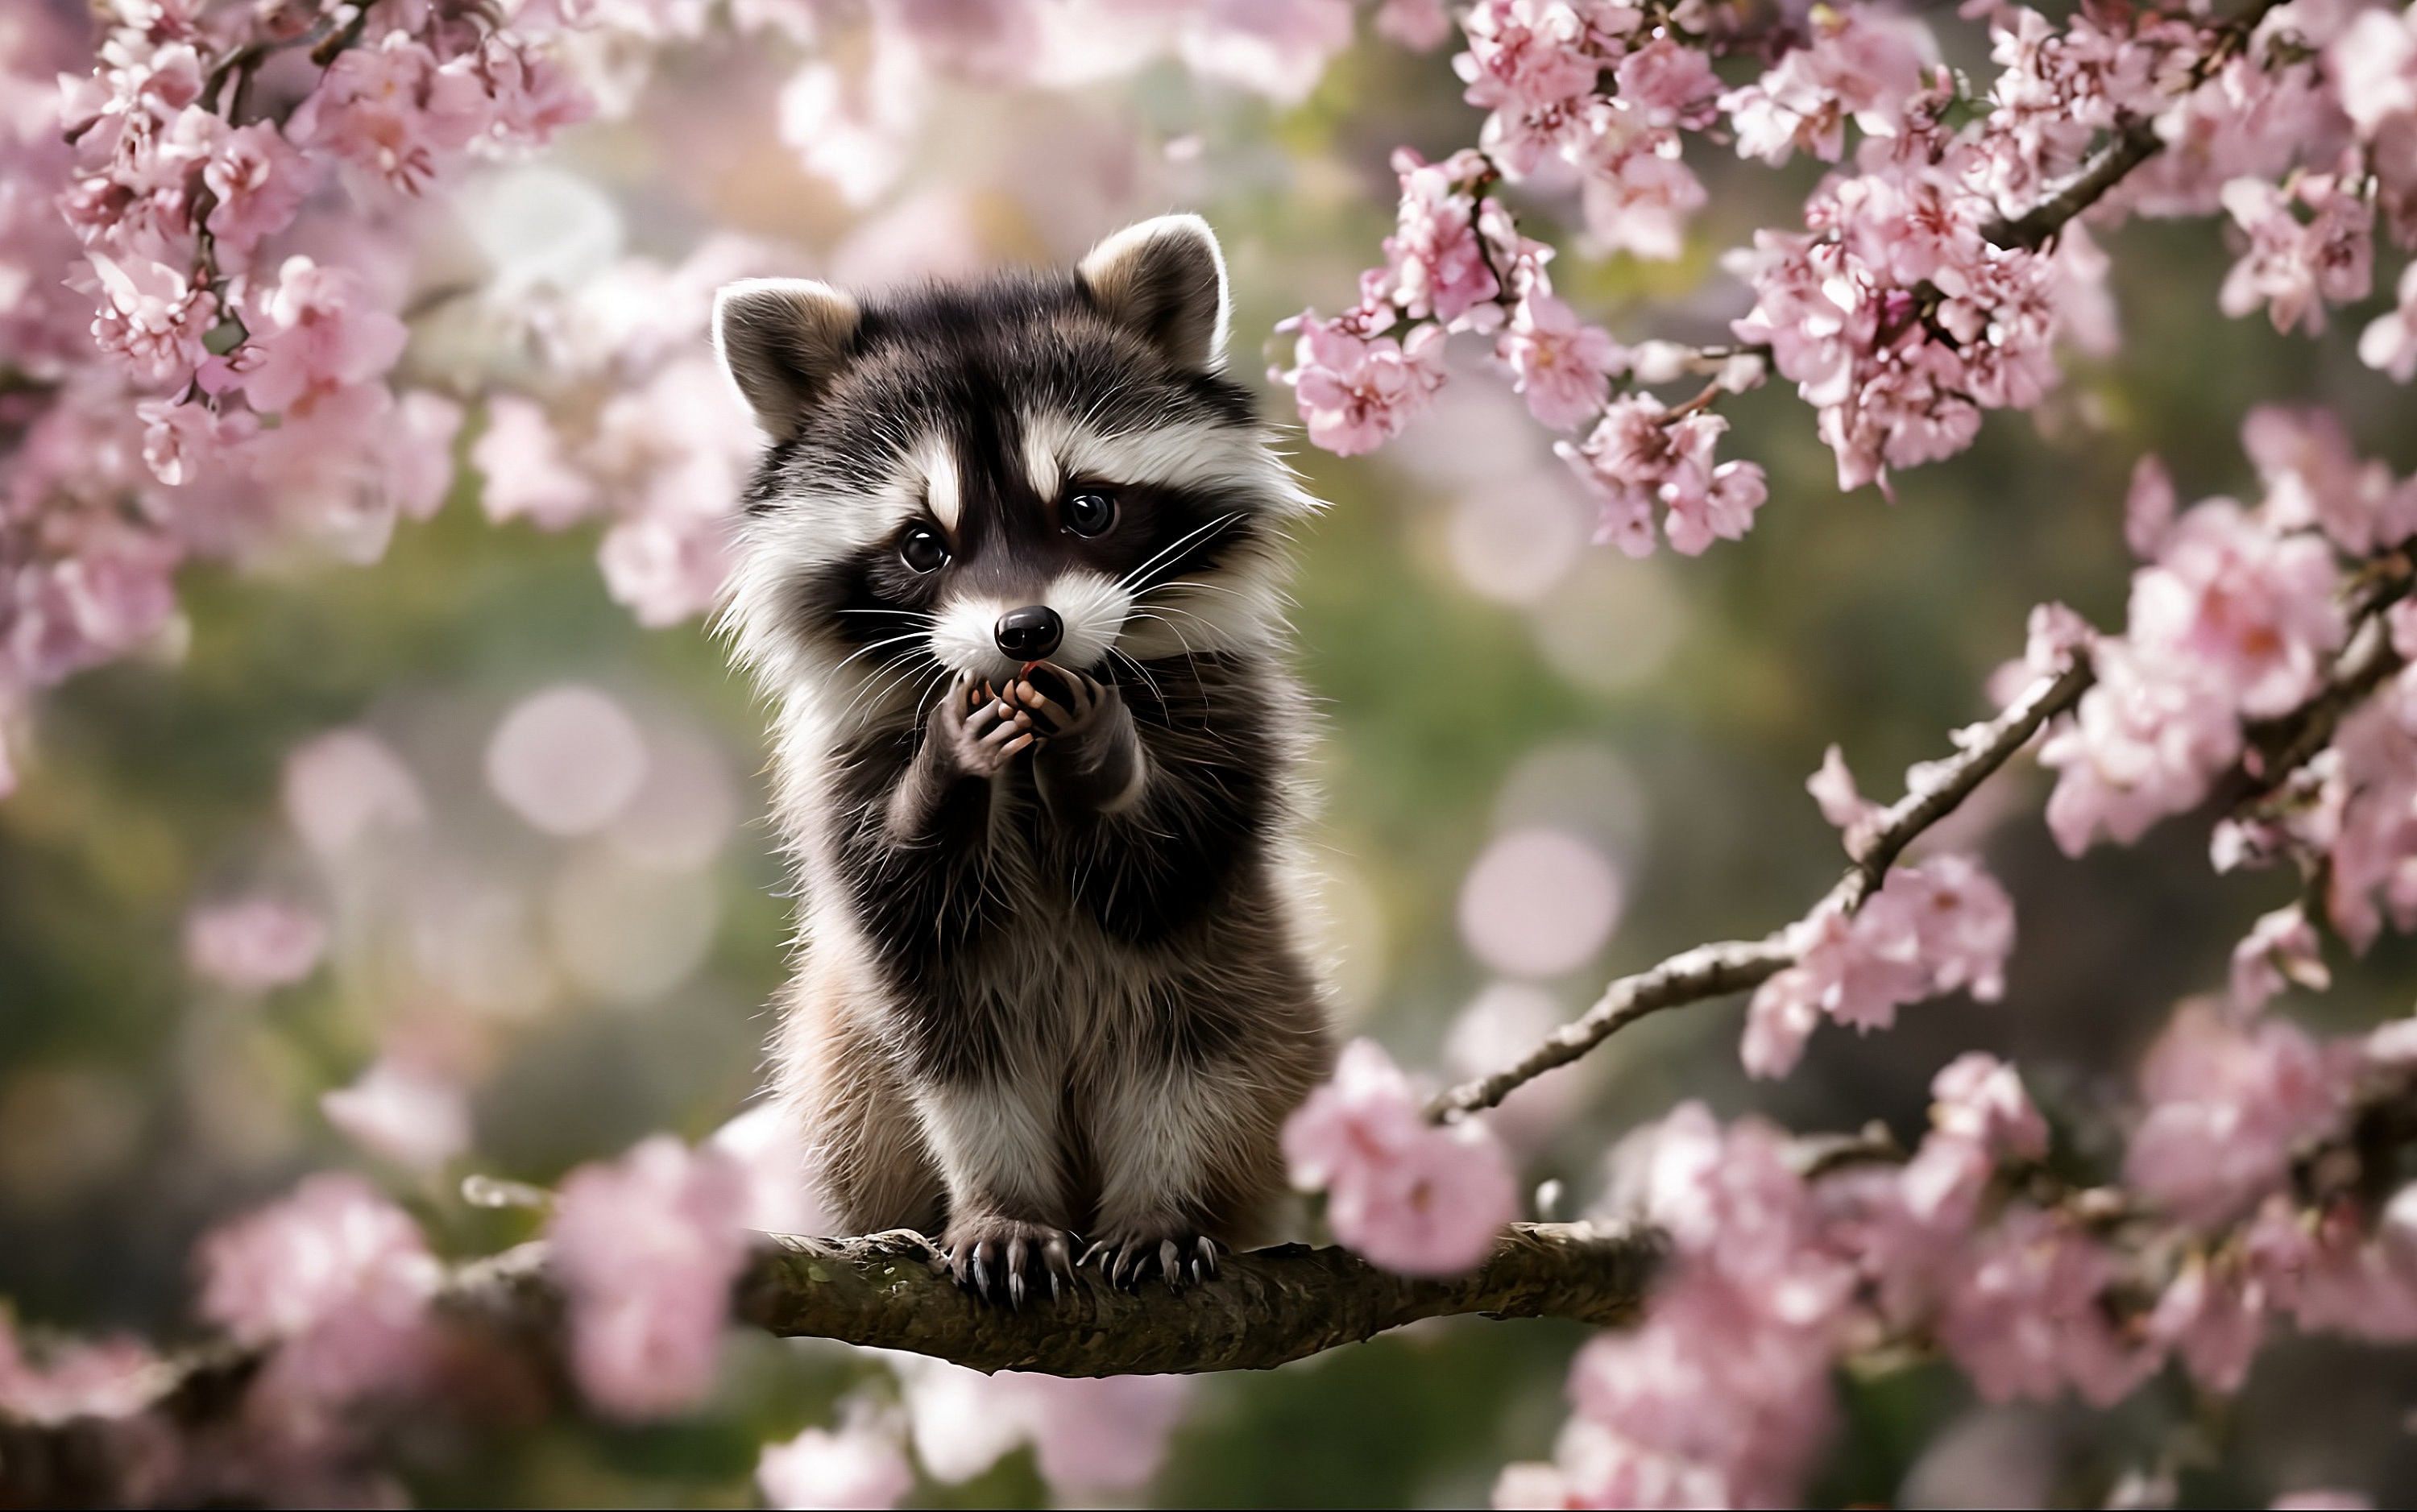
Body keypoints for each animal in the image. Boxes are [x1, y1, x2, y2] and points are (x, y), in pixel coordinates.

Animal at [712, 215, 1336, 1304]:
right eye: (923, 543)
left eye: (1086, 507)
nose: (1027, 631)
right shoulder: (846, 789)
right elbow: (933, 954)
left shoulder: (1230, 722)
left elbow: (1162, 872)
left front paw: (1099, 763)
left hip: (1257, 1003)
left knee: (1197, 1049)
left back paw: (1159, 1200)